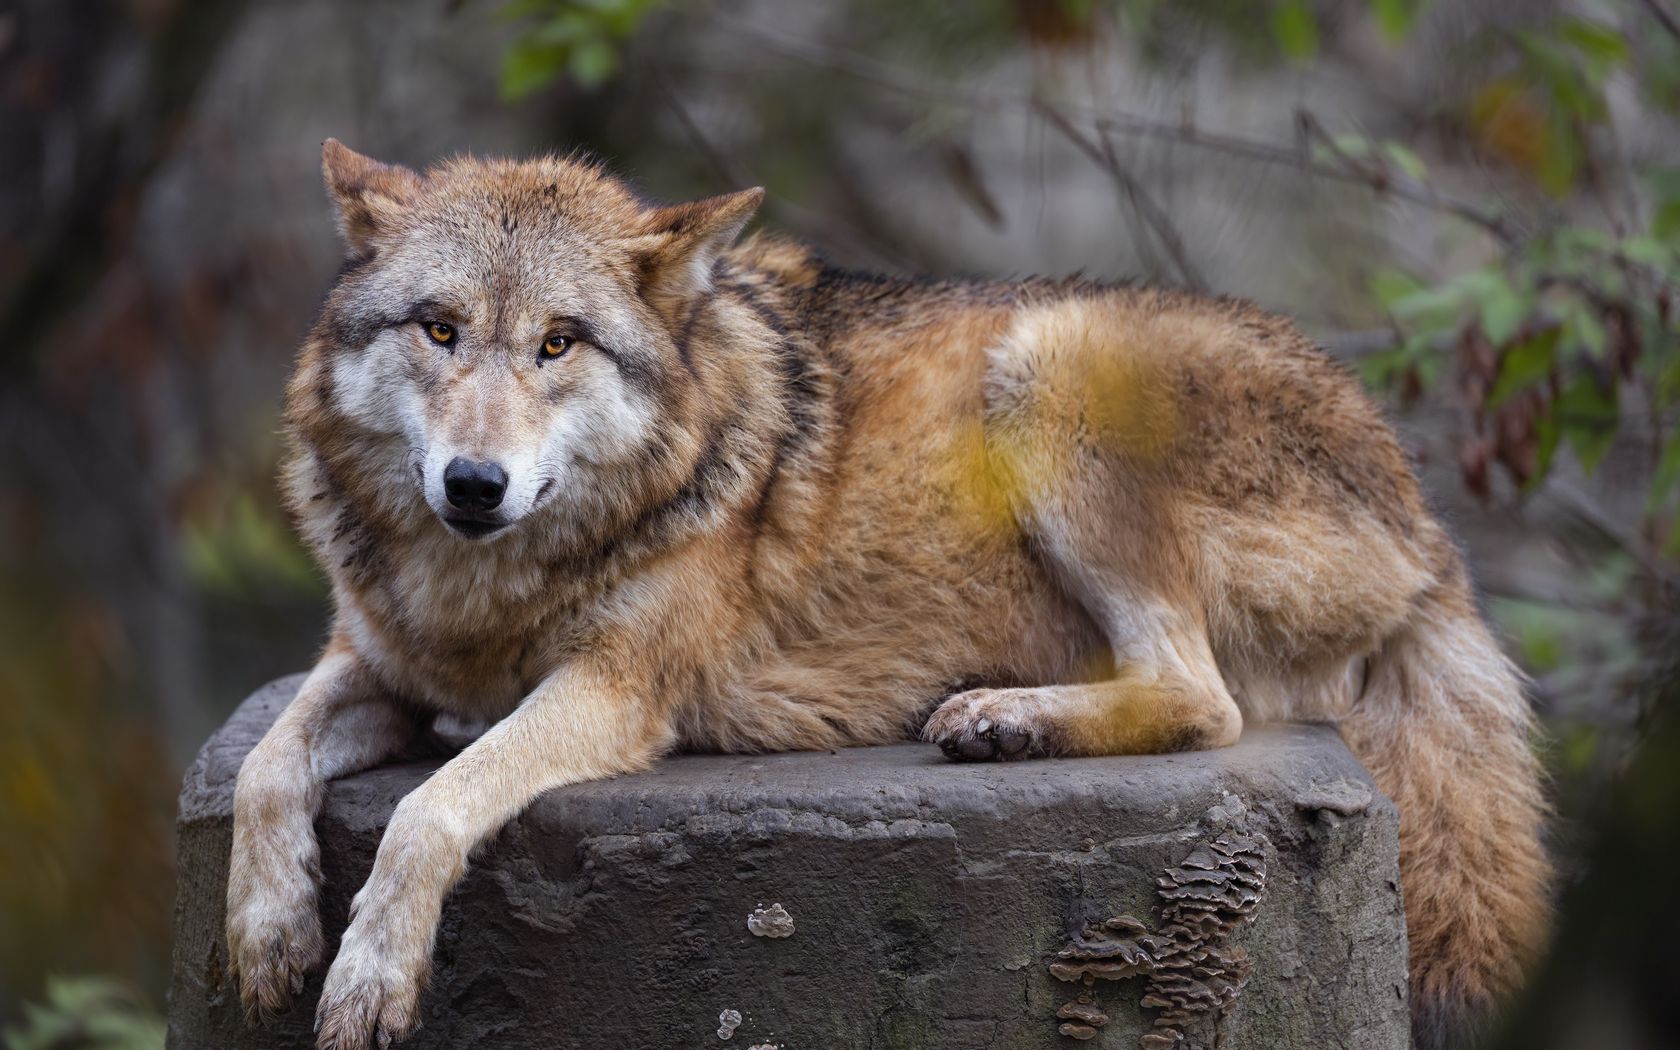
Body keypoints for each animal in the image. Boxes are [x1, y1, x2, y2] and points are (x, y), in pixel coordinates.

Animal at [226, 140, 1550, 1050]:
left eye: (558, 342)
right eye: (440, 330)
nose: (474, 483)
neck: (487, 586)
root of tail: (1425, 518)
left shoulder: (615, 689)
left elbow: (431, 806)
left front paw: (369, 977)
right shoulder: (378, 663)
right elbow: (265, 767)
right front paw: (267, 931)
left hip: (1050, 365)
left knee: (1205, 702)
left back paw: (1002, 720)